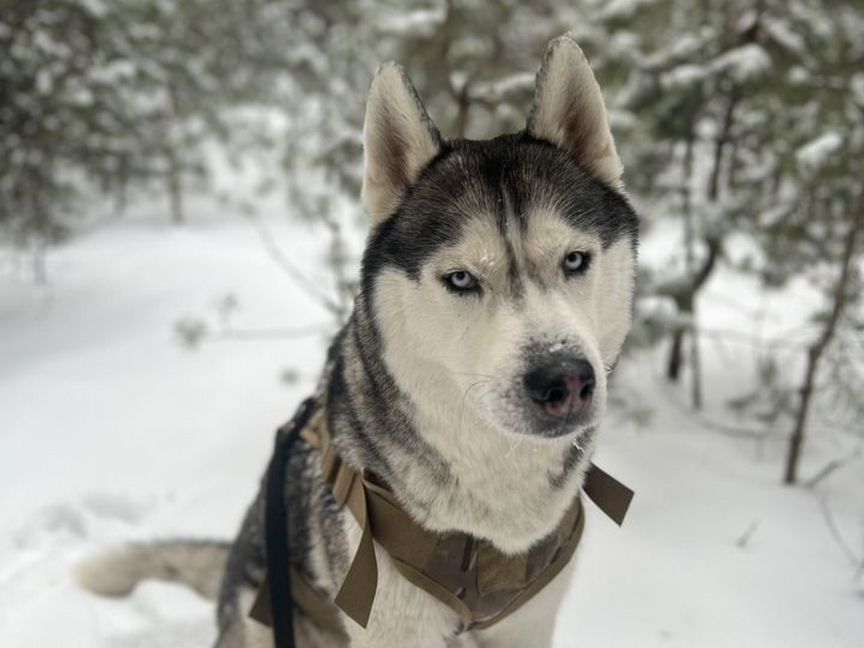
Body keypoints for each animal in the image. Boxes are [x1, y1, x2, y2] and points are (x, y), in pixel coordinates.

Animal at [77, 36, 636, 648]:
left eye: (575, 260)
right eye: (461, 278)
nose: (565, 380)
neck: (493, 522)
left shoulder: (528, 624)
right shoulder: (389, 624)